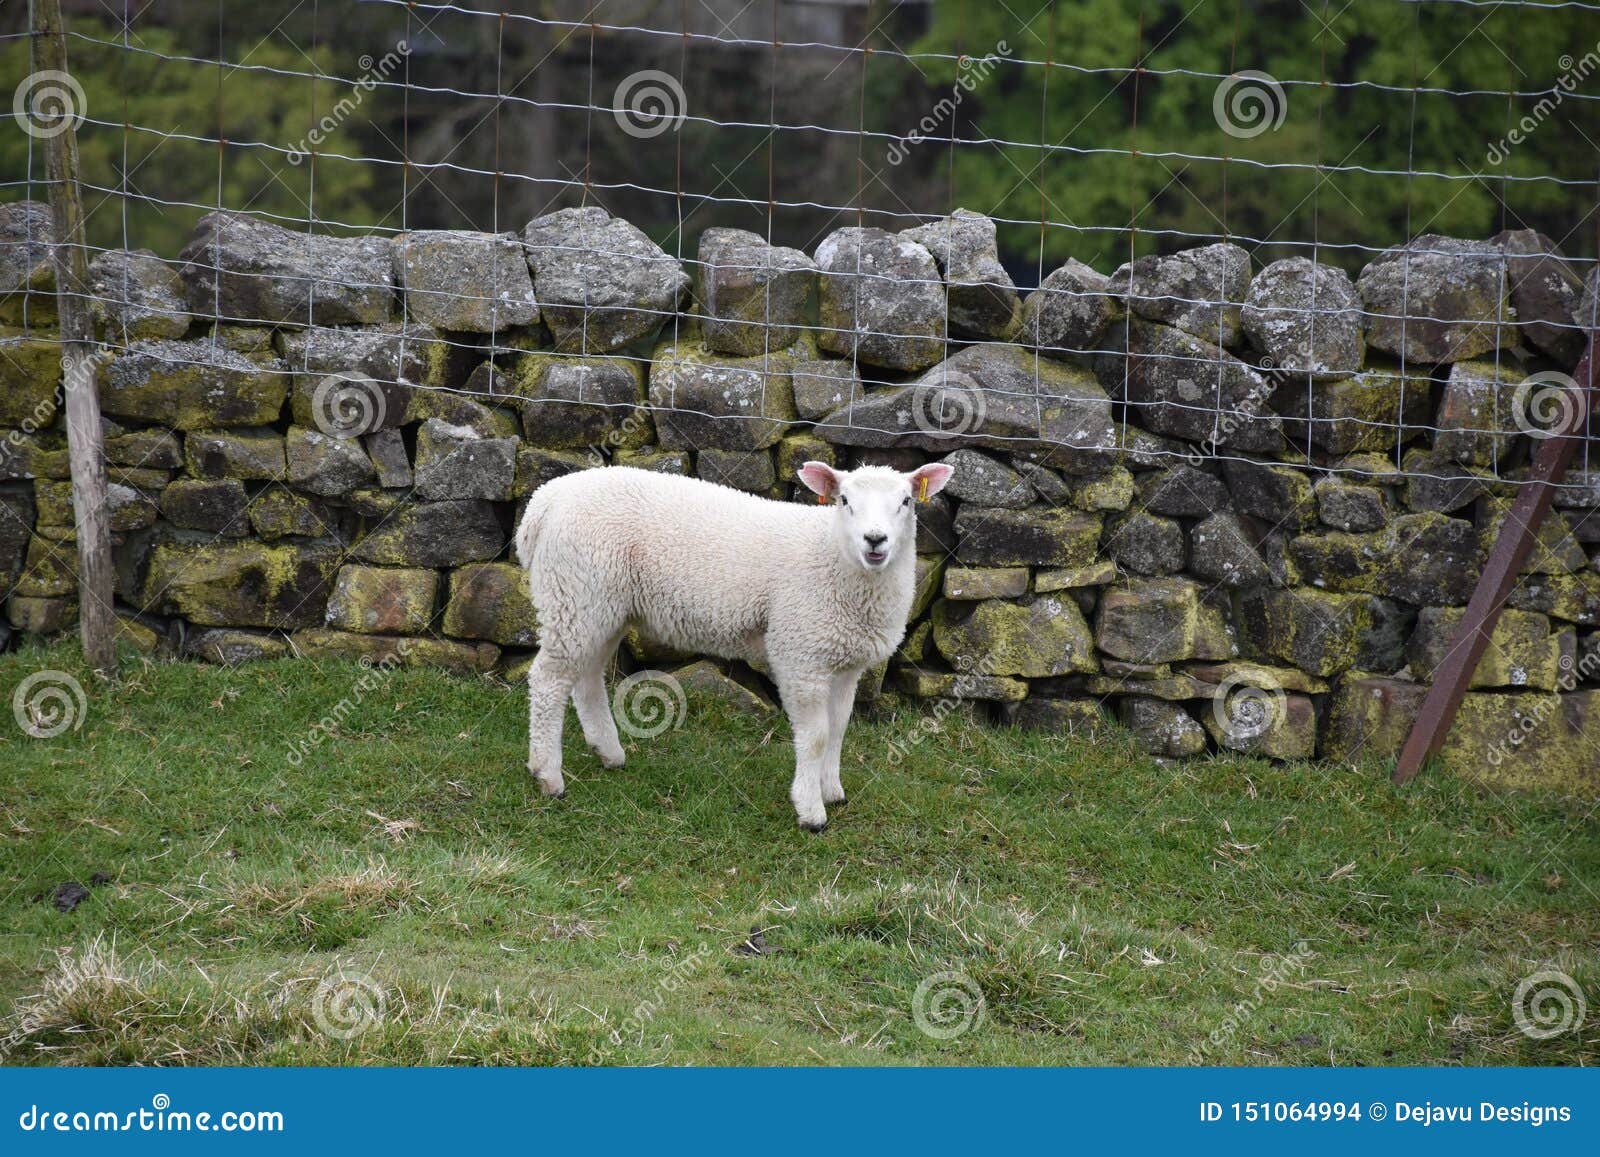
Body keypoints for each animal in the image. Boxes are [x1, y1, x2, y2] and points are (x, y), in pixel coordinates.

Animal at [513, 460, 955, 830]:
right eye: (844, 500)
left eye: (906, 501)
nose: (874, 540)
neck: (834, 557)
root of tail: (543, 502)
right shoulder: (800, 652)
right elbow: (815, 735)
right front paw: (811, 810)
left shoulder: (846, 661)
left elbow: (839, 728)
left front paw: (832, 790)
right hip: (574, 593)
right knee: (549, 679)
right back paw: (548, 775)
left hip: (603, 607)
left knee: (587, 677)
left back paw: (609, 753)